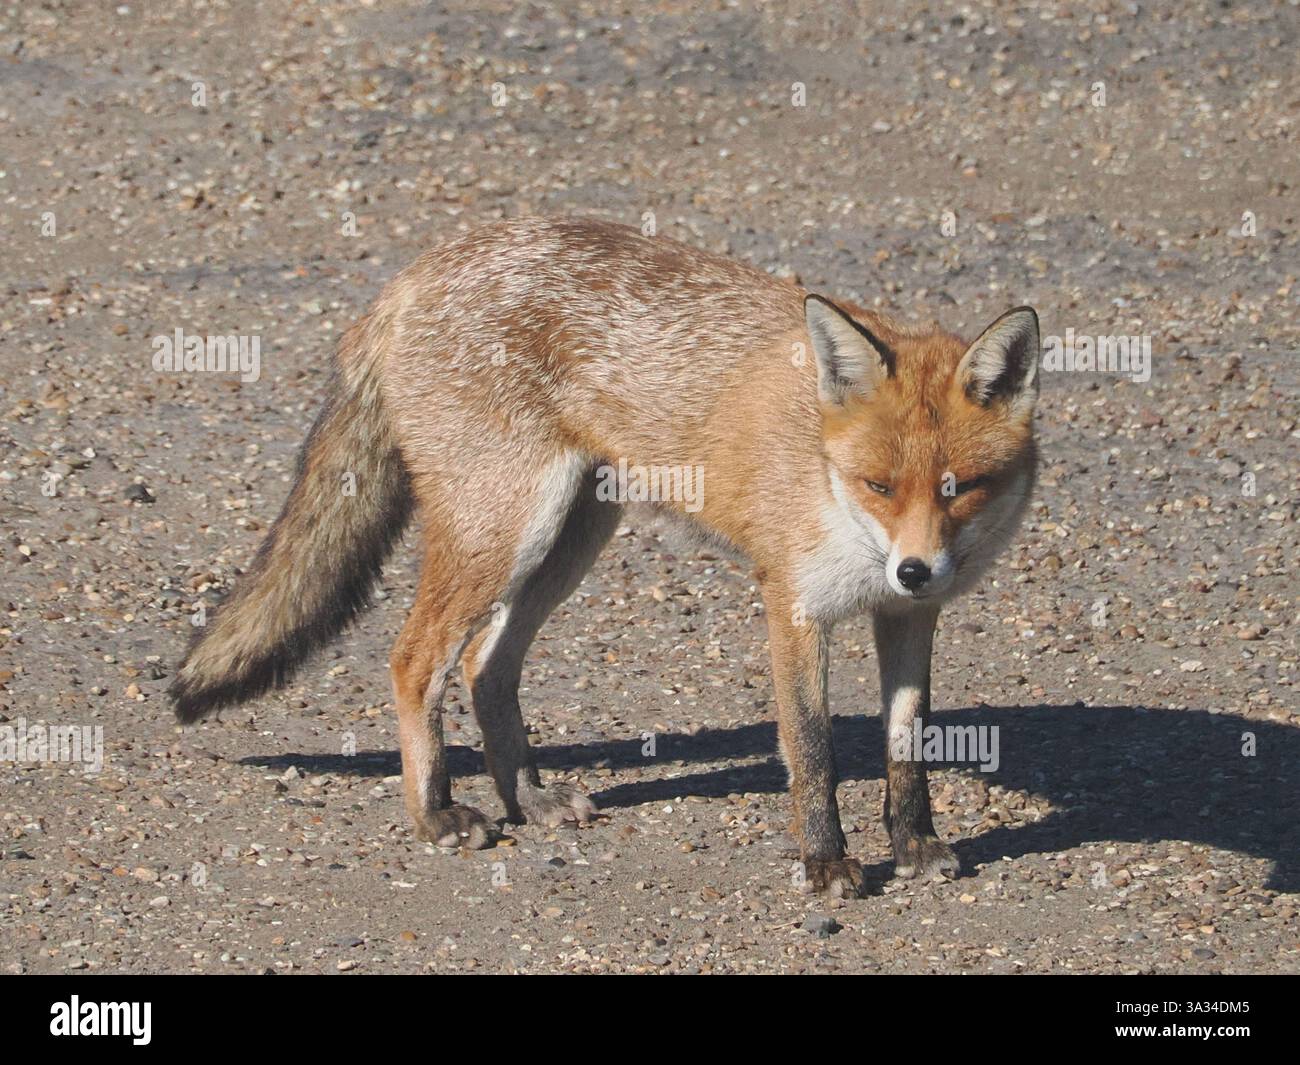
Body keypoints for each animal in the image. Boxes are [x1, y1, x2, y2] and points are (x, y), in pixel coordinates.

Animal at [170, 217, 1039, 898]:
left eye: (961, 488)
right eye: (879, 484)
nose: (915, 568)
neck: (830, 484)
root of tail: (418, 269)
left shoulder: (908, 617)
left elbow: (907, 742)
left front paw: (914, 843)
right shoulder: (793, 604)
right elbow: (813, 750)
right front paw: (825, 863)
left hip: (568, 537)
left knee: (486, 664)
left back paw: (527, 798)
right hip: (506, 529)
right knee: (415, 659)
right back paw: (435, 813)